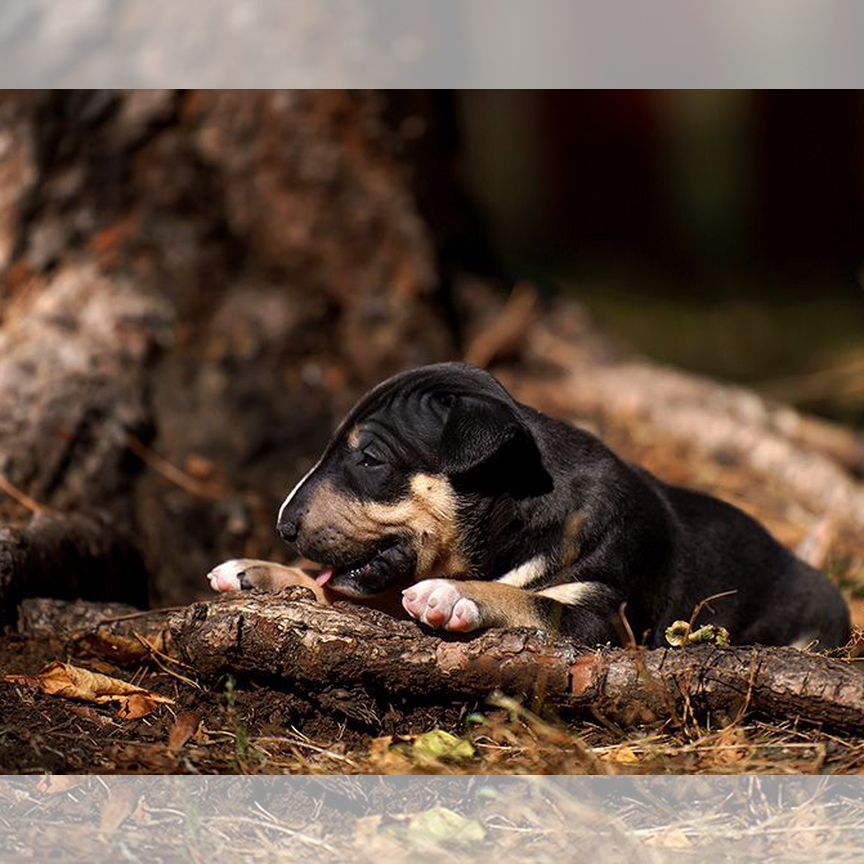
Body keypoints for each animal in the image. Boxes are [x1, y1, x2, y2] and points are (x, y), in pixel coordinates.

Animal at [209, 360, 852, 648]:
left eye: (369, 458)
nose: (283, 527)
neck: (521, 520)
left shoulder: (604, 614)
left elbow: (529, 600)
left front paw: (454, 595)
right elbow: (343, 591)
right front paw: (257, 571)